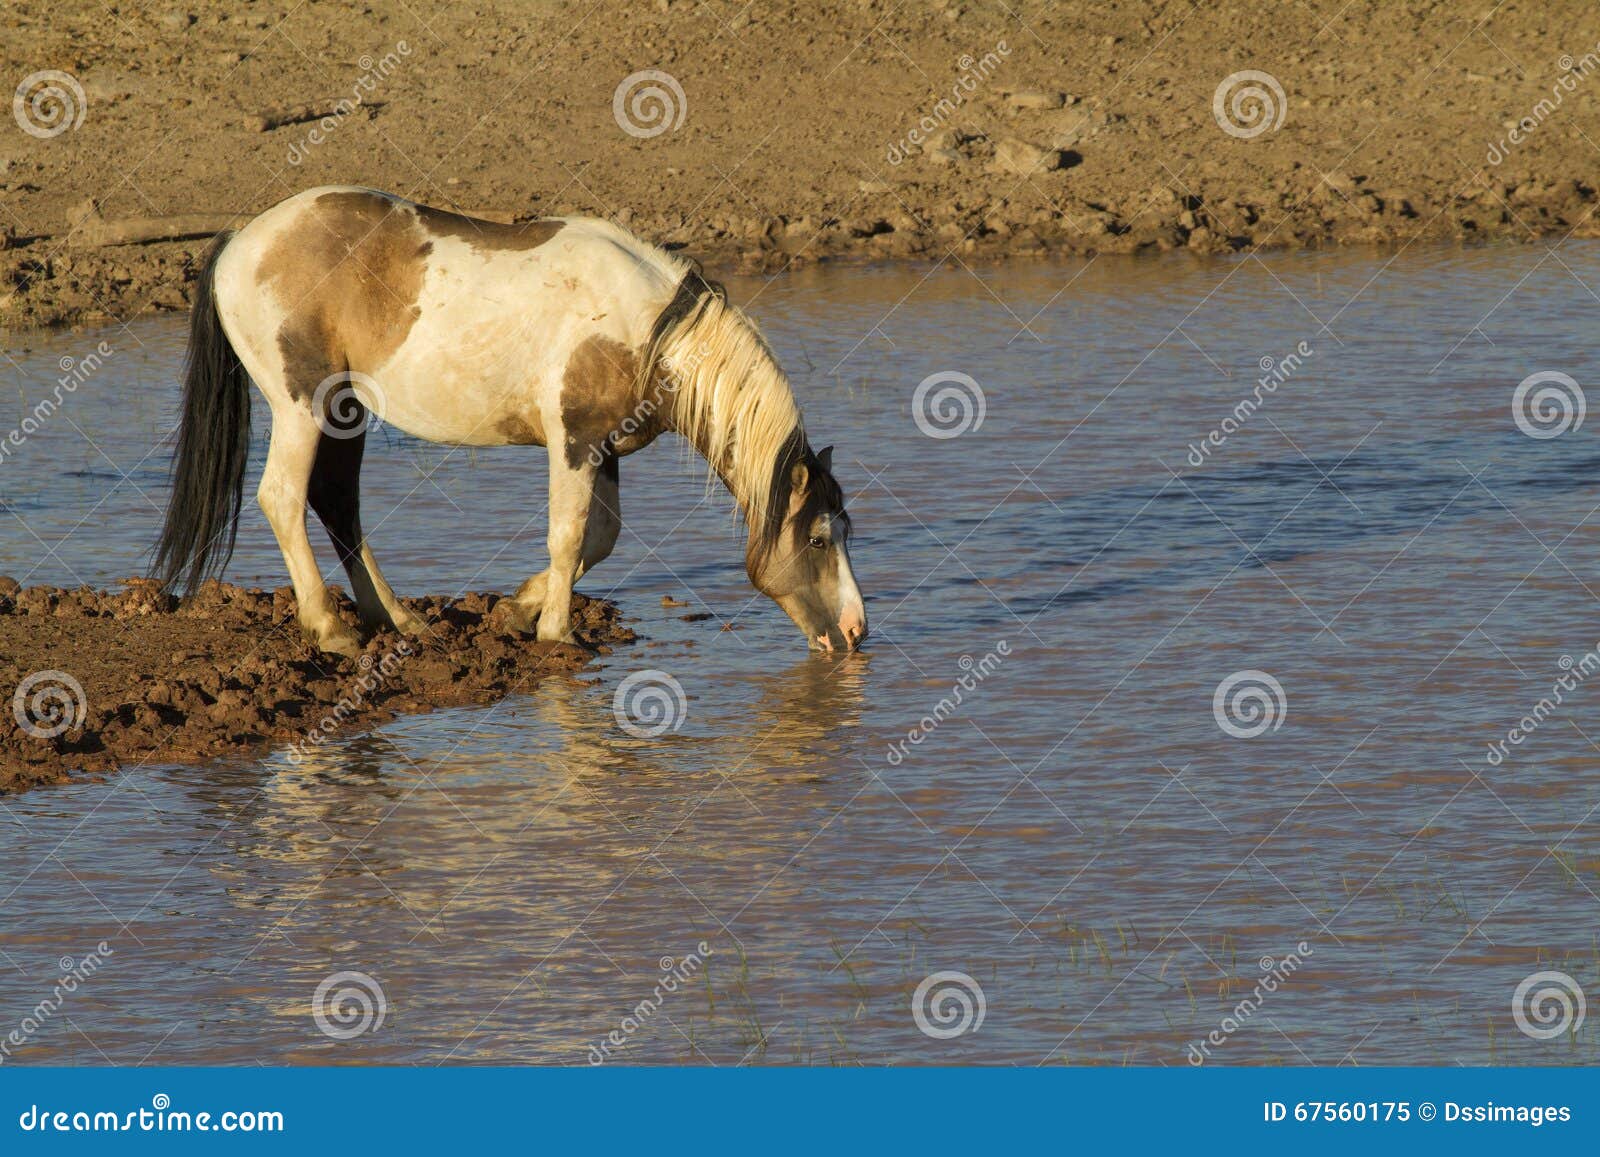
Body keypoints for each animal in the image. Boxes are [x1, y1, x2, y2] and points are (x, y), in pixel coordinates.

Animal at [153, 186, 866, 657]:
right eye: (817, 540)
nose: (856, 631)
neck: (649, 330)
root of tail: (240, 241)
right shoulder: (572, 443)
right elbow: (568, 537)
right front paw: (556, 632)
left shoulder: (603, 447)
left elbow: (598, 540)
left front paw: (518, 612)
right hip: (302, 407)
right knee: (283, 498)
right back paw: (330, 631)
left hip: (344, 413)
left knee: (336, 504)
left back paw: (398, 621)